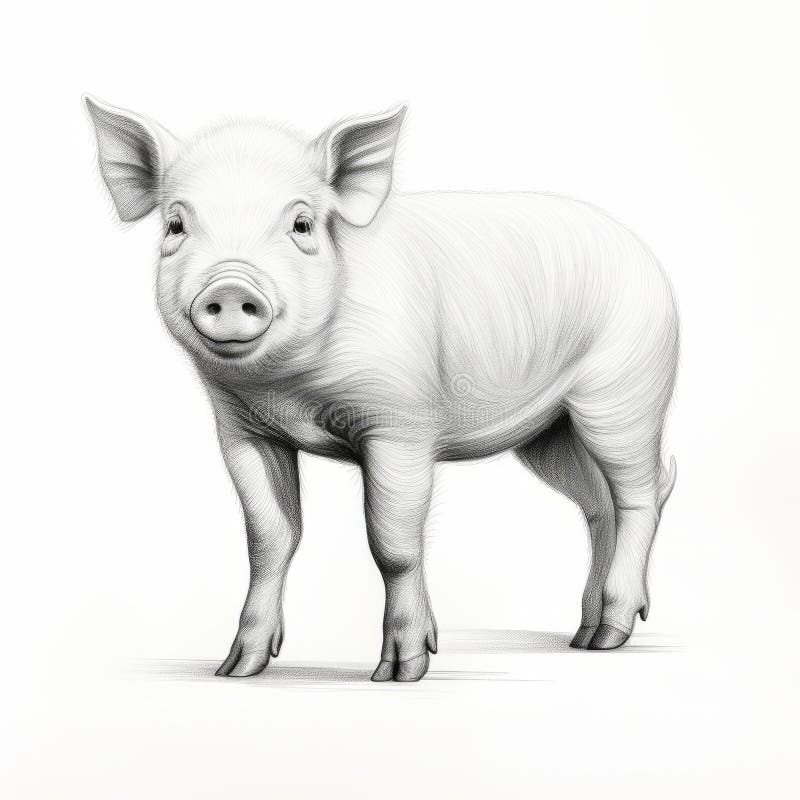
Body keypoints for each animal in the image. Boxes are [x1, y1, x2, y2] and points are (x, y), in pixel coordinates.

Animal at [85, 95, 678, 681]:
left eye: (302, 224)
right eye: (174, 225)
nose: (230, 286)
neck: (291, 389)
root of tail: (646, 256)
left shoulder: (400, 423)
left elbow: (392, 544)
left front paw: (400, 671)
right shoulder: (241, 430)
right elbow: (268, 539)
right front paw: (235, 669)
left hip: (625, 393)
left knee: (638, 496)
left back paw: (611, 633)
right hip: (549, 433)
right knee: (598, 505)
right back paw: (585, 638)